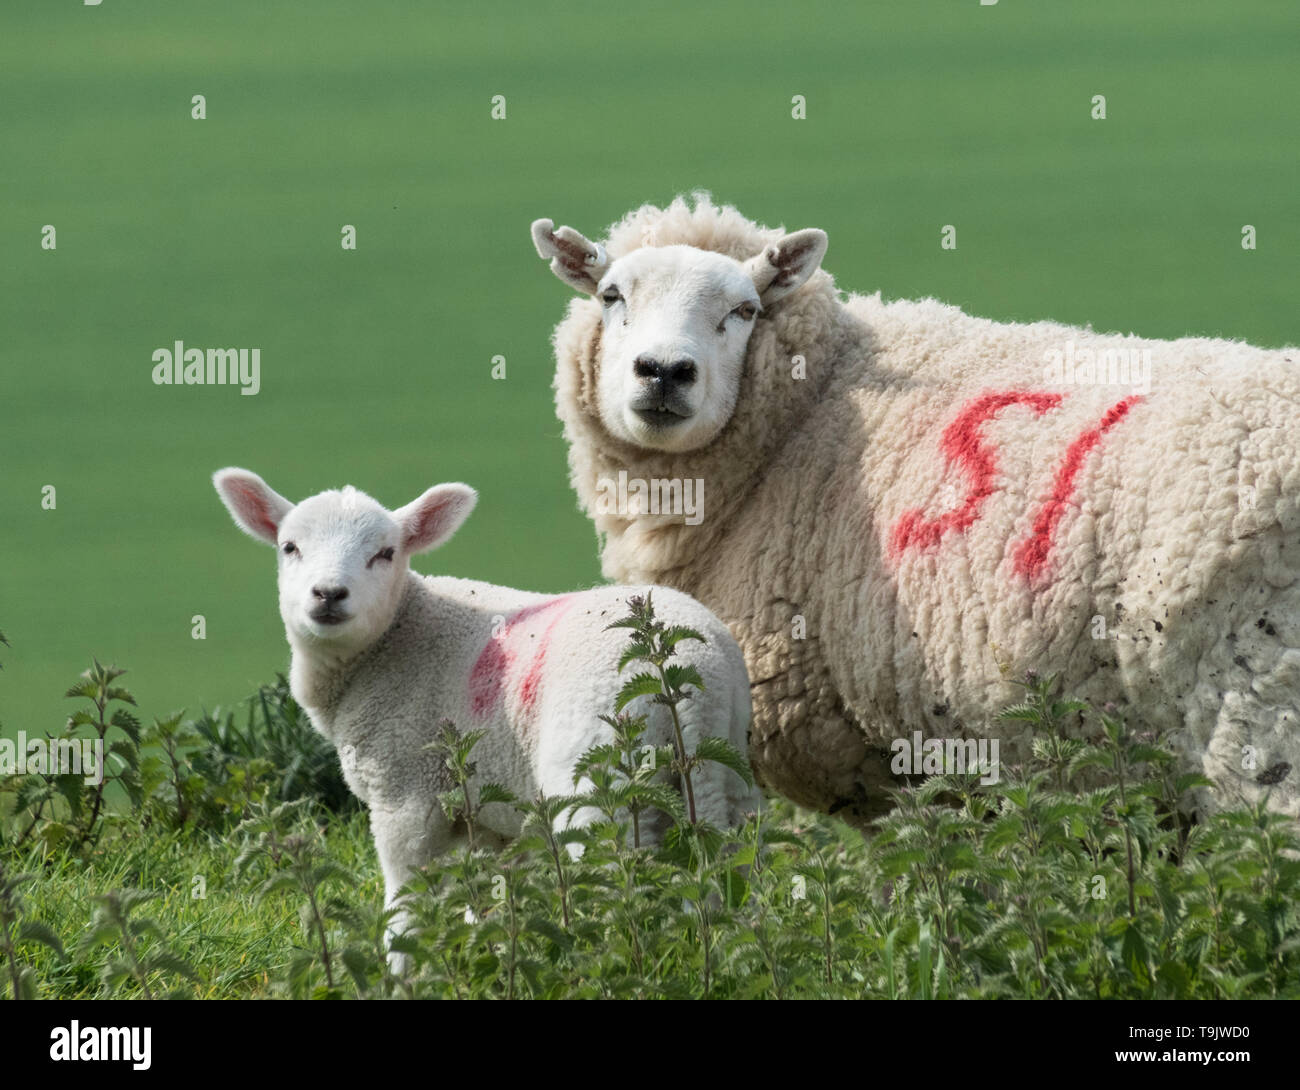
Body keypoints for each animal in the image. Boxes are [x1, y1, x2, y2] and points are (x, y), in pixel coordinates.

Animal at [212, 467, 759, 967]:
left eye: (385, 553)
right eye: (289, 547)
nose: (328, 594)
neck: (394, 637)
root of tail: (691, 676)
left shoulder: (405, 793)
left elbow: (404, 905)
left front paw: (400, 973)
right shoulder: (491, 809)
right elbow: (491, 895)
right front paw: (492, 954)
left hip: (600, 774)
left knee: (616, 881)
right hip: (728, 774)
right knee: (726, 873)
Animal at [531, 192, 1300, 825]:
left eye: (744, 311)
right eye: (611, 295)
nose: (664, 372)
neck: (807, 409)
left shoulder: (868, 761)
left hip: (1256, 713)